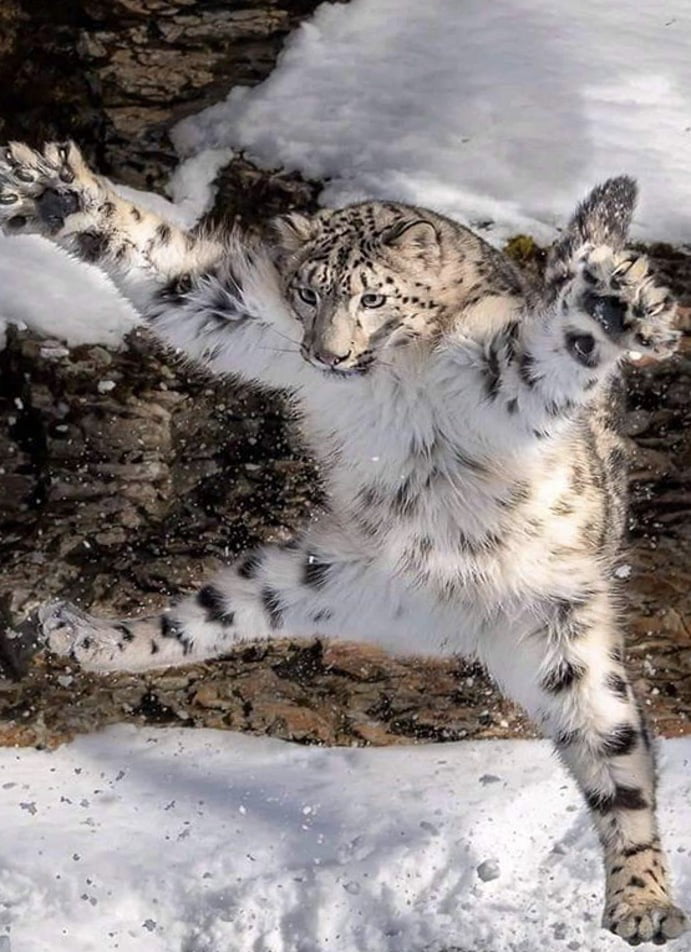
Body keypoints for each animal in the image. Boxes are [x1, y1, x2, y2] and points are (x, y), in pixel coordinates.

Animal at [0, 140, 687, 946]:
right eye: (307, 293)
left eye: (372, 299)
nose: (324, 355)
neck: (387, 378)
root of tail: (449, 622)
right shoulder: (241, 313)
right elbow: (171, 271)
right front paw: (57, 193)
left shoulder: (503, 373)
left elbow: (554, 348)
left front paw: (614, 305)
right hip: (303, 575)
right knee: (191, 624)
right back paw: (79, 634)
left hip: (569, 642)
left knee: (620, 769)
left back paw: (642, 902)